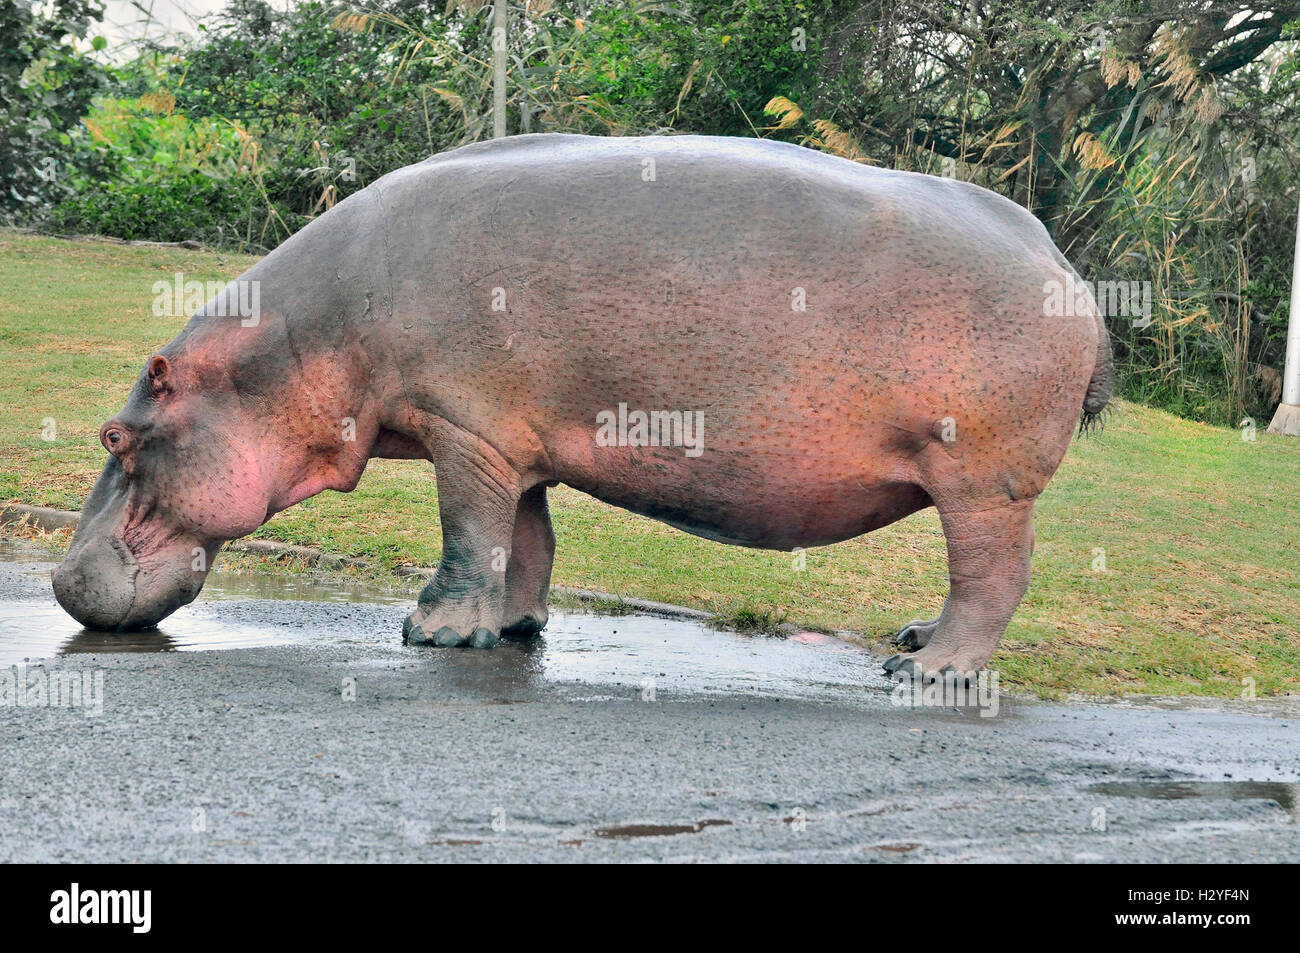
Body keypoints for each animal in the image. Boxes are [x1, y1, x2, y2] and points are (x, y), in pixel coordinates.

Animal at [52, 133, 1111, 677]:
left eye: (117, 434)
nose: (60, 579)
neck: (287, 347)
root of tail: (1062, 261)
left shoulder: (462, 429)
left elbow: (464, 533)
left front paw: (429, 633)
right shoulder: (511, 439)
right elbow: (524, 540)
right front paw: (516, 628)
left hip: (981, 480)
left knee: (992, 578)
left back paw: (929, 670)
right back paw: (913, 638)